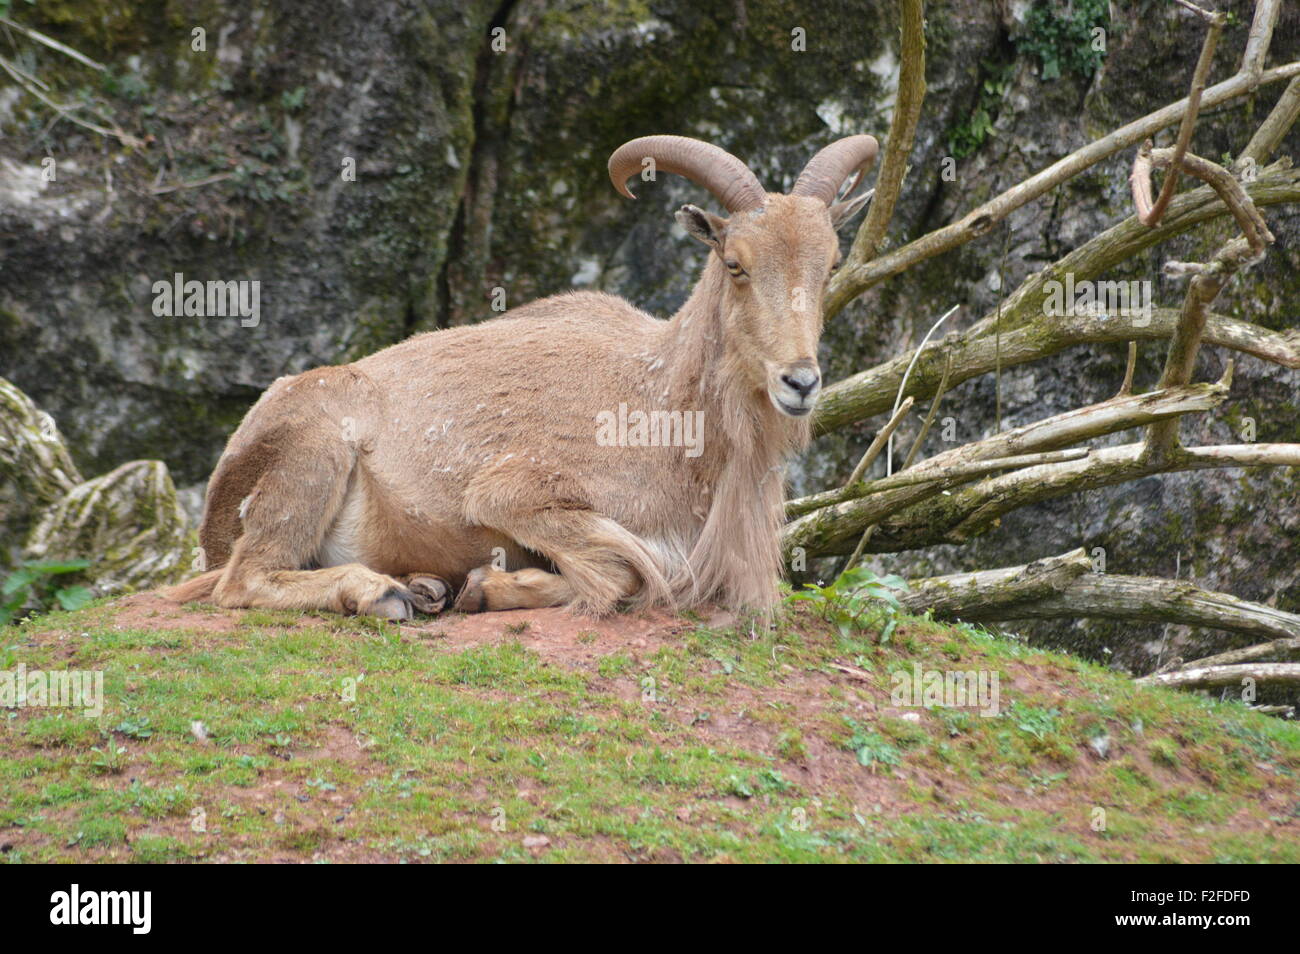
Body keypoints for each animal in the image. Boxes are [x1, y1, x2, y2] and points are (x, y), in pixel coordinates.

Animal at [166, 134, 879, 619]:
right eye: (735, 264)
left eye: (830, 265)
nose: (799, 382)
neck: (661, 404)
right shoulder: (515, 493)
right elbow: (623, 573)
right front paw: (489, 586)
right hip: (313, 451)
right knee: (245, 579)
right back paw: (382, 592)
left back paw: (423, 585)